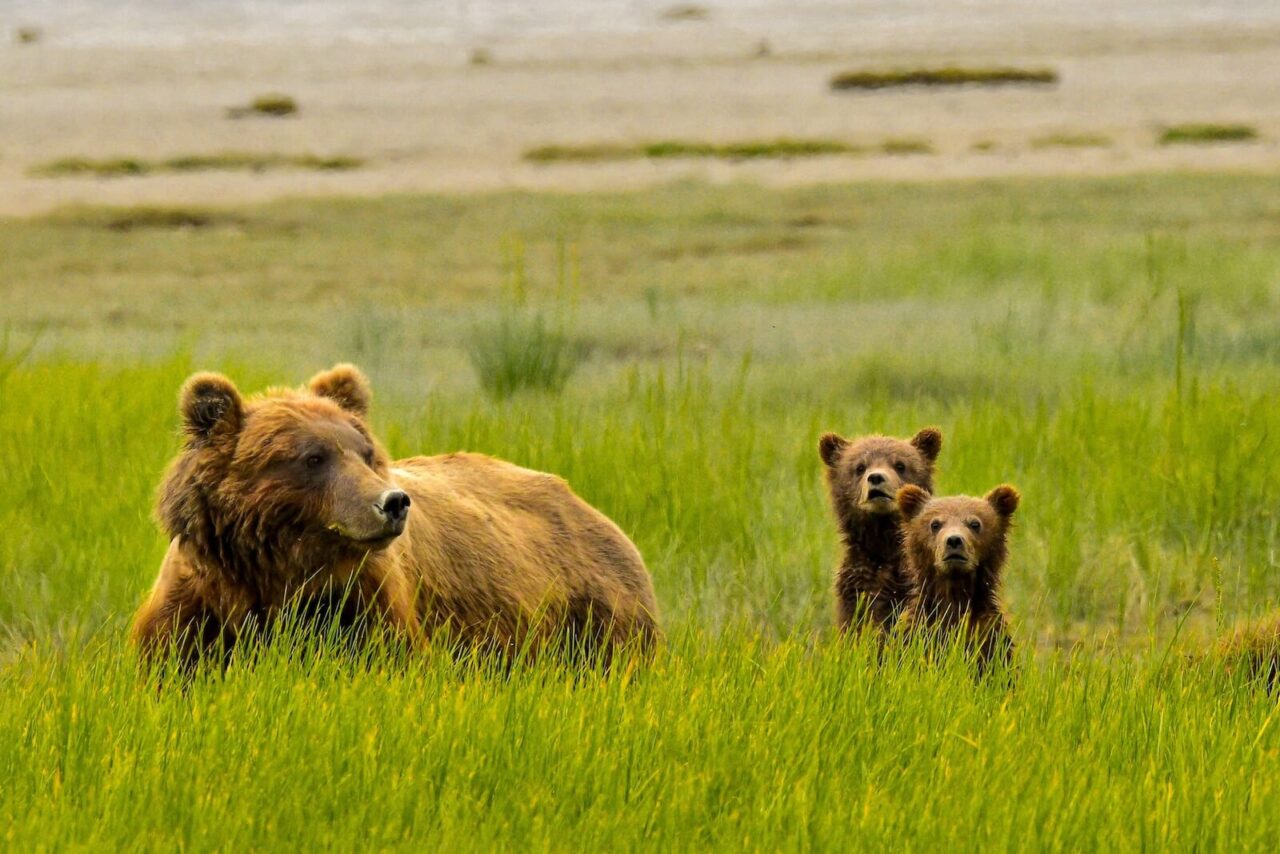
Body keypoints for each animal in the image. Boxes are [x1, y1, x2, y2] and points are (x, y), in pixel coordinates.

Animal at [131, 364, 661, 671]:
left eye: (366, 454)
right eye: (313, 457)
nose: (392, 502)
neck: (276, 574)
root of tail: (591, 509)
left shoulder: (361, 605)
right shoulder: (201, 601)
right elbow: (175, 663)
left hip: (598, 616)